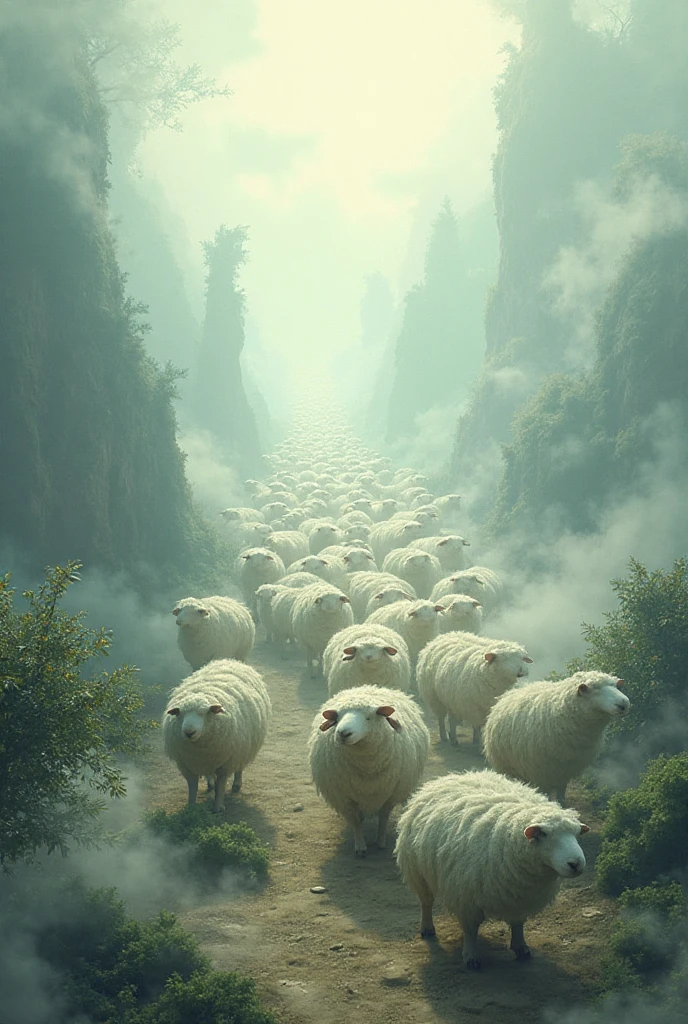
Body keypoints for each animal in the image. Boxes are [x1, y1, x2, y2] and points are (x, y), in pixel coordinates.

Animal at [163, 659, 271, 812]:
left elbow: (221, 784)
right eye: (179, 713)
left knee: (239, 766)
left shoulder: (225, 763)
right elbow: (192, 786)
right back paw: (210, 782)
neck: (198, 749)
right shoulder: (187, 764)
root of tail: (230, 661)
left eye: (204, 713)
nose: (189, 732)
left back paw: (236, 784)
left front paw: (218, 807)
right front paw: (191, 807)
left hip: (242, 746)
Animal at [308, 685, 430, 856]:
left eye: (368, 718)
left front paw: (380, 841)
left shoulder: (390, 793)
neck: (367, 768)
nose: (343, 733)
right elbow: (354, 821)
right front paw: (360, 846)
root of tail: (368, 686)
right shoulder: (345, 797)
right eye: (337, 718)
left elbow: (384, 817)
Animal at [394, 770, 589, 968]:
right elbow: (471, 930)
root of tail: (454, 776)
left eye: (576, 833)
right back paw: (427, 927)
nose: (576, 863)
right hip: (418, 872)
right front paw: (471, 956)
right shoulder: (468, 899)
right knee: (426, 902)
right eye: (544, 834)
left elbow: (518, 924)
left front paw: (520, 947)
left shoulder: (520, 897)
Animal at [483, 672, 630, 804]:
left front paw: (561, 804)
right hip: (506, 767)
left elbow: (561, 792)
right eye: (595, 689)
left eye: (616, 686)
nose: (624, 704)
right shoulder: (541, 773)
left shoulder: (565, 771)